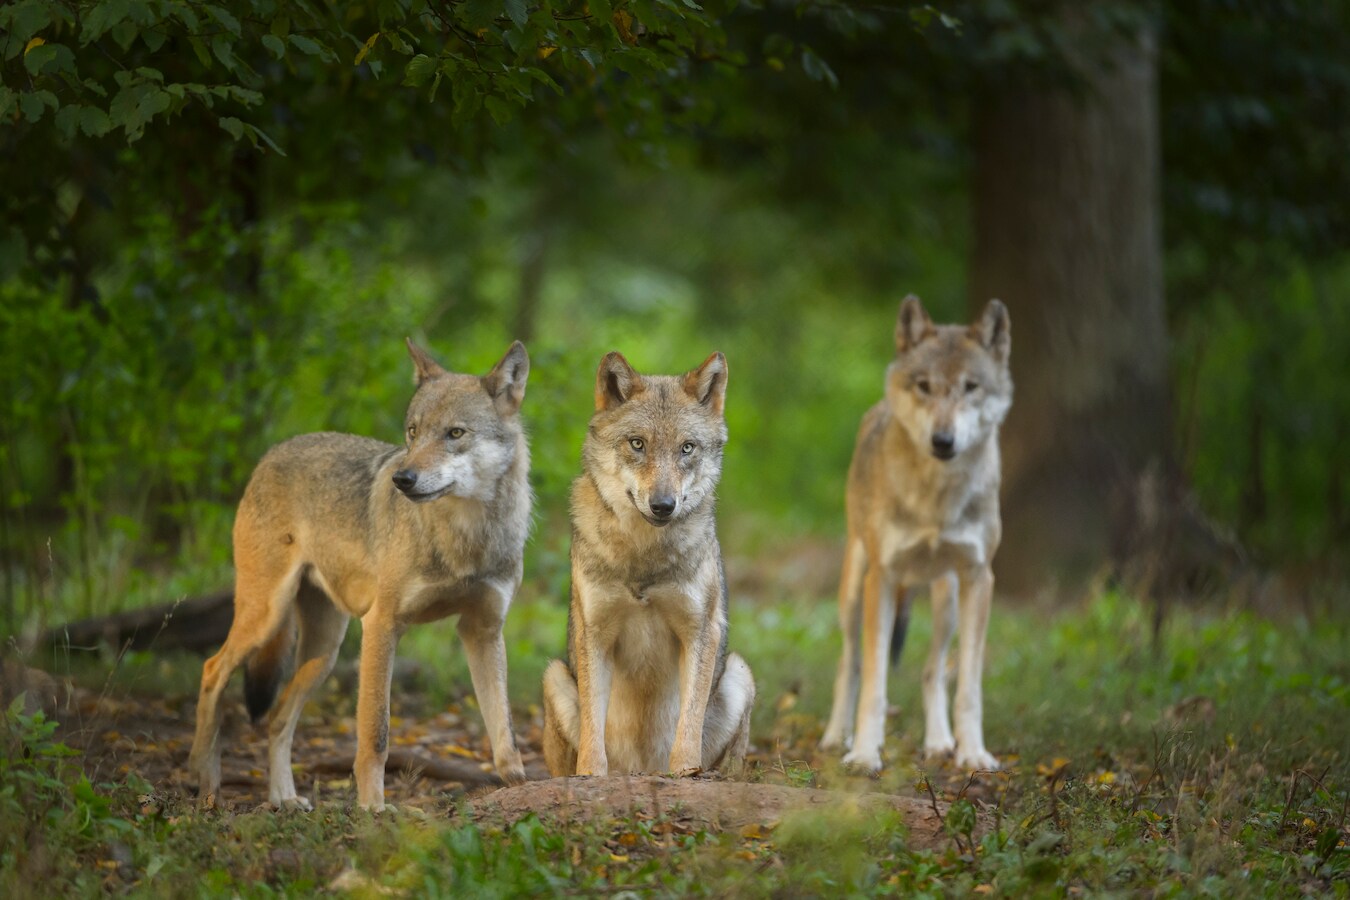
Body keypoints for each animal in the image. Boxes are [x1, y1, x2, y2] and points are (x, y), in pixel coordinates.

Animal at [188, 339, 531, 811]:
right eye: (412, 432)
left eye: (455, 434)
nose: (403, 478)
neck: (465, 538)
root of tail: (274, 451)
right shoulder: (382, 625)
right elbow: (376, 735)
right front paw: (372, 808)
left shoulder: (482, 629)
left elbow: (505, 735)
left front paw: (522, 789)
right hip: (266, 618)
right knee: (212, 671)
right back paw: (207, 785)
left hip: (324, 653)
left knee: (277, 717)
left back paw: (284, 799)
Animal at [540, 351, 755, 778]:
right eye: (637, 444)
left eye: (687, 448)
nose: (663, 505)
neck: (643, 555)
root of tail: (641, 769)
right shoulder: (595, 632)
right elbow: (593, 727)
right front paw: (591, 775)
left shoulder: (699, 630)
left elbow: (688, 722)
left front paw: (685, 773)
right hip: (554, 675)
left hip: (740, 673)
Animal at [819, 296, 1012, 774]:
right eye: (924, 385)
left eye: (971, 387)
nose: (943, 440)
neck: (935, 501)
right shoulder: (883, 578)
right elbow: (874, 684)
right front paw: (864, 754)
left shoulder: (980, 578)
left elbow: (970, 687)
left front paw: (973, 753)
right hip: (854, 592)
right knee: (849, 664)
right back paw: (834, 738)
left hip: (947, 601)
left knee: (932, 671)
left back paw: (940, 742)